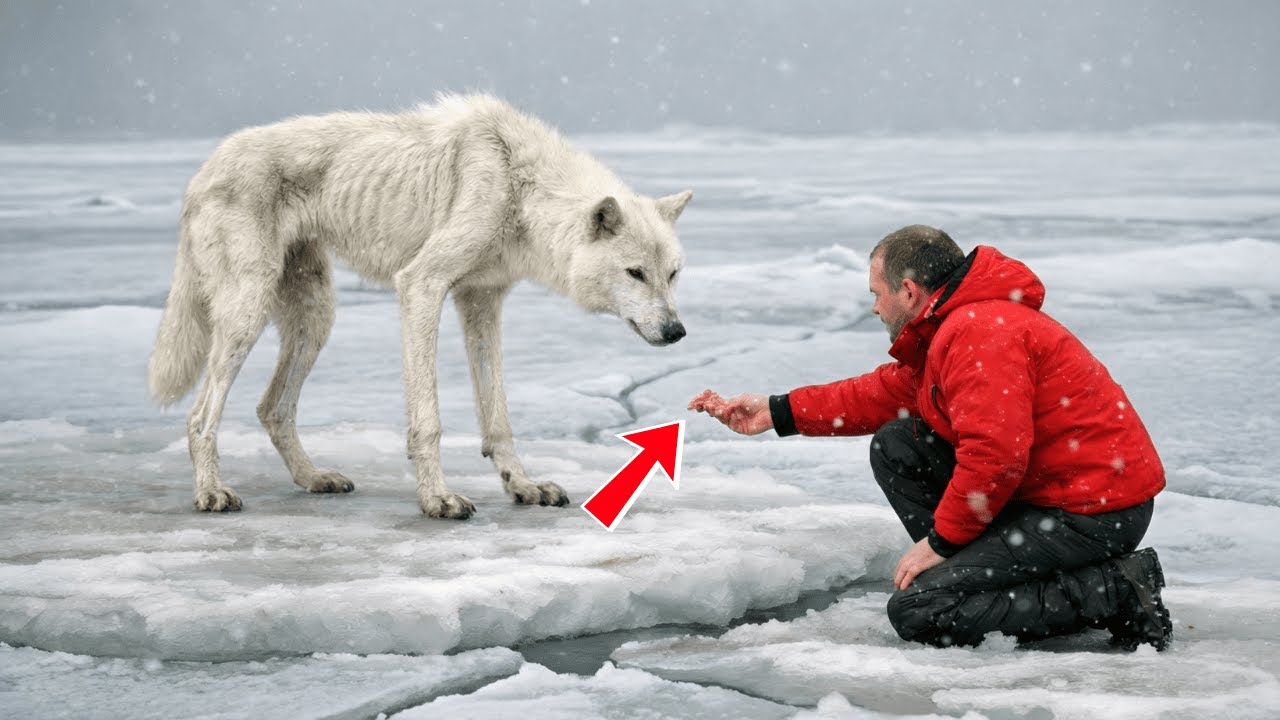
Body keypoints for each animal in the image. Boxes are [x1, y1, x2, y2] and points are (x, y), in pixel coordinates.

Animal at [147, 93, 692, 518]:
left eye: (672, 273)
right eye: (635, 273)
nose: (676, 332)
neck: (518, 183)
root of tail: (204, 168)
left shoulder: (481, 301)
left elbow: (498, 417)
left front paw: (523, 486)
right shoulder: (421, 285)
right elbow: (428, 420)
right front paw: (438, 499)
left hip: (315, 319)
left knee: (271, 409)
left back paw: (314, 478)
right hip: (248, 313)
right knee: (200, 415)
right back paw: (211, 493)